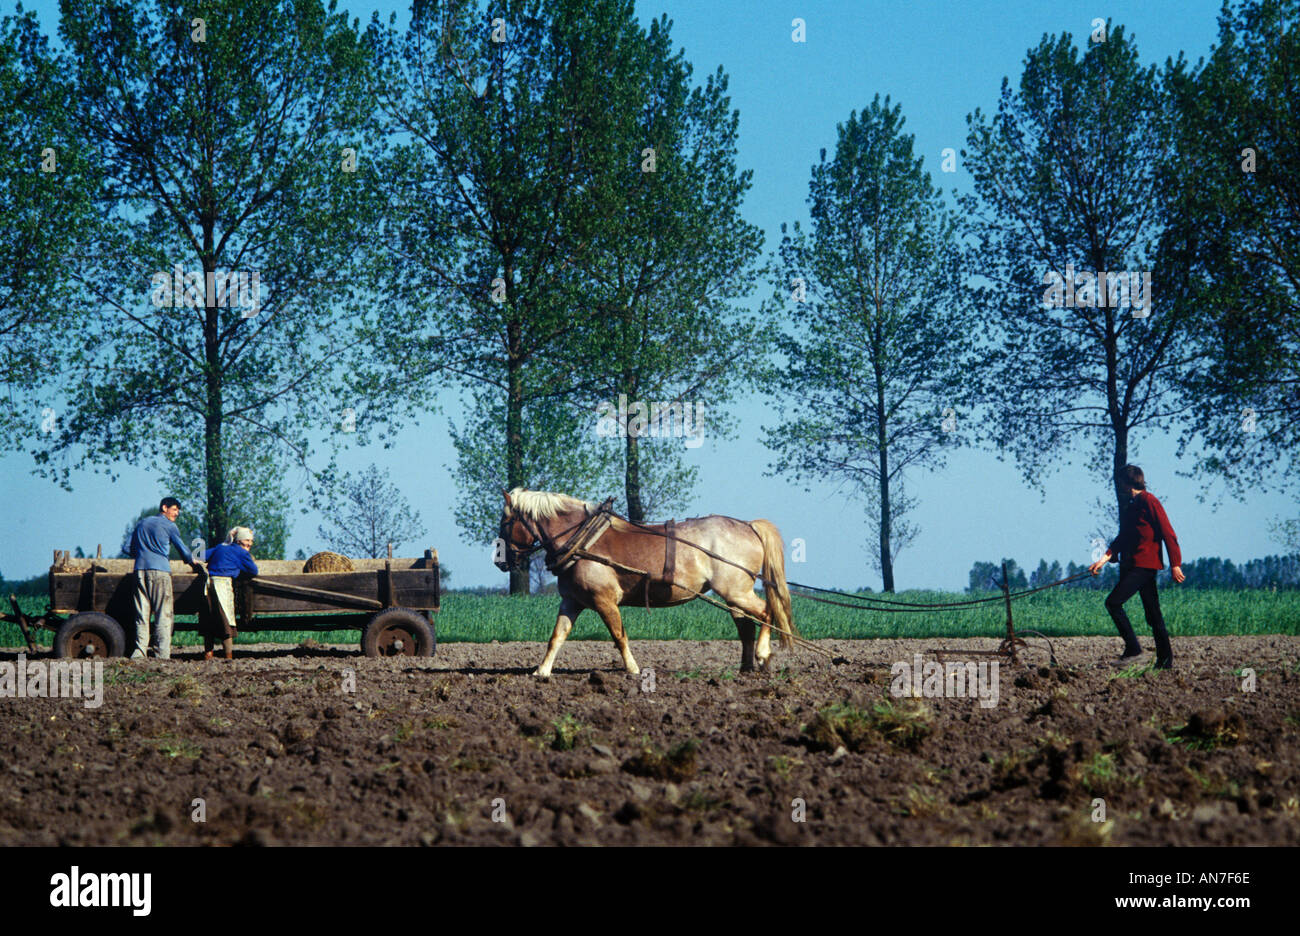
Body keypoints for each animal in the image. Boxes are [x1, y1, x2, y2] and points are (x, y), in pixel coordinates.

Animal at [494, 488, 795, 677]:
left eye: (505, 522)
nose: (501, 562)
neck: (582, 541)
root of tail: (748, 525)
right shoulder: (572, 601)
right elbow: (557, 636)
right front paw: (542, 671)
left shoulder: (604, 601)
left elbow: (619, 636)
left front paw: (633, 669)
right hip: (734, 594)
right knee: (745, 626)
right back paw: (746, 668)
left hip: (737, 591)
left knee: (767, 612)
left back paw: (762, 654)